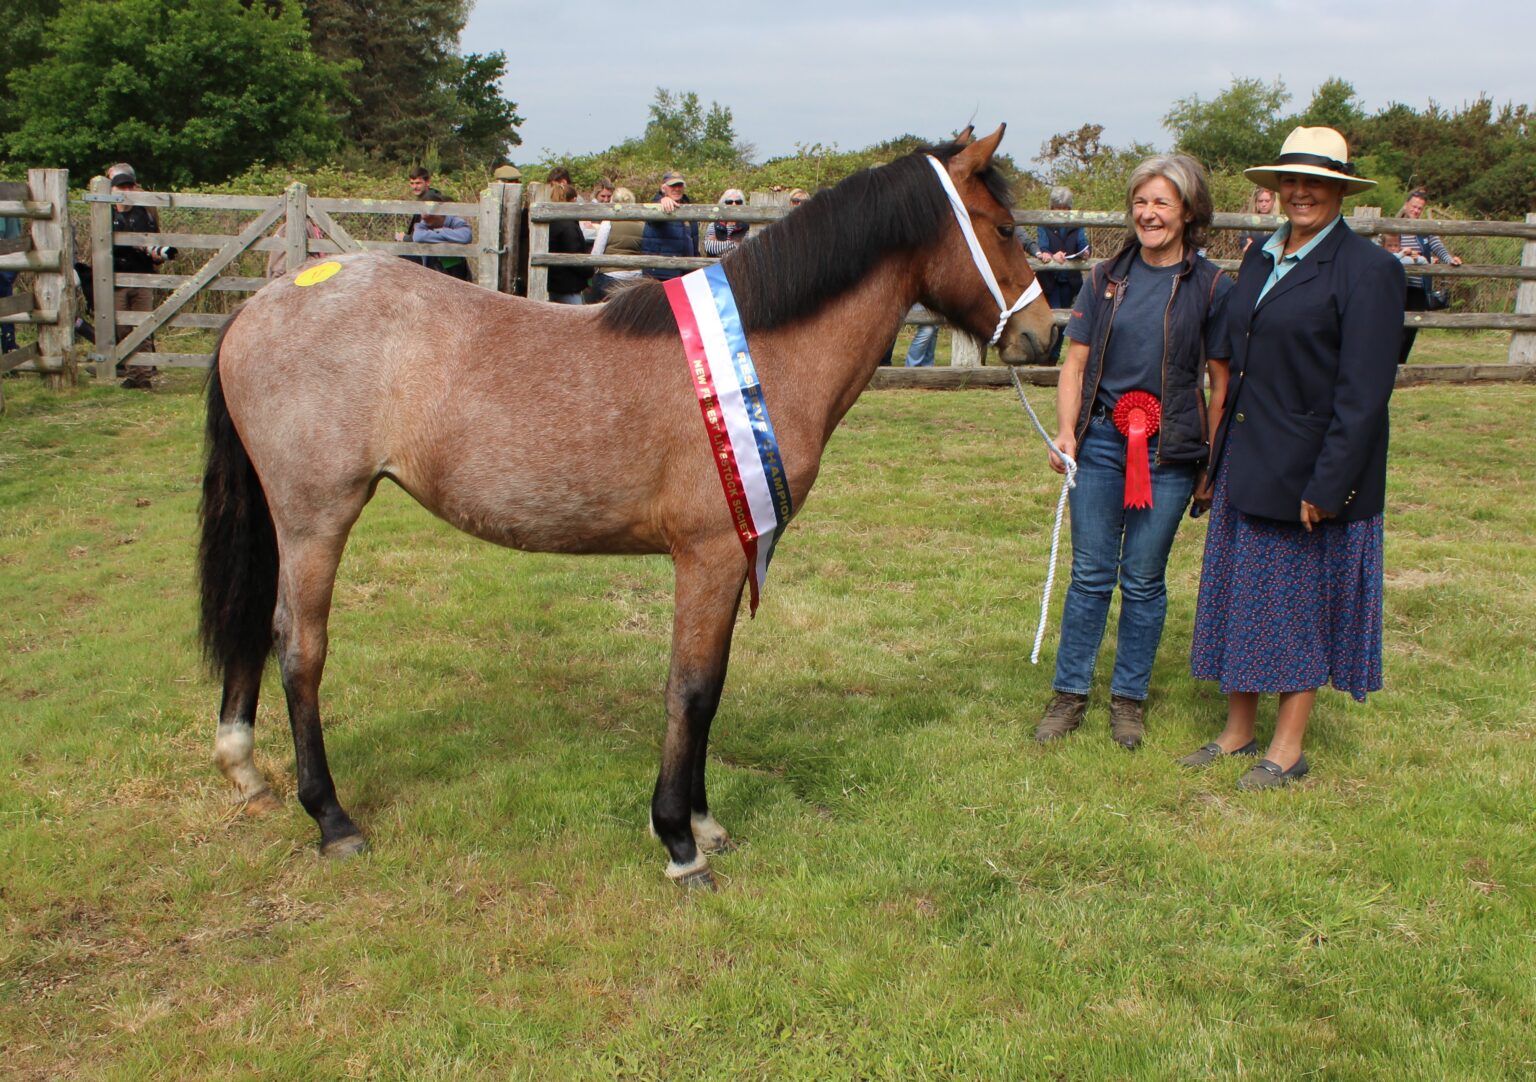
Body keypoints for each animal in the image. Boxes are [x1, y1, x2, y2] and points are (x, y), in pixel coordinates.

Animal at [198, 124, 1054, 888]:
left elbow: (710, 686)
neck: (756, 352)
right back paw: (332, 819)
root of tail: (258, 306)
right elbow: (691, 688)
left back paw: (247, 772)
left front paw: (703, 821)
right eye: (1007, 227)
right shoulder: (709, 554)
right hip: (317, 517)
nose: (1045, 336)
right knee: (299, 646)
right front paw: (679, 842)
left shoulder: (732, 552)